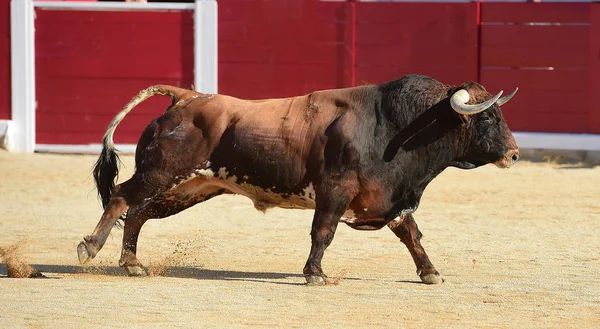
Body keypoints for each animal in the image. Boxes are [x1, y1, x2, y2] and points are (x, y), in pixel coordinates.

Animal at [77, 74, 516, 284]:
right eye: (489, 118)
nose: (513, 154)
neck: (397, 126)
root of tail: (187, 97)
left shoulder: (390, 197)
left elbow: (412, 235)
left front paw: (430, 273)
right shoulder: (335, 191)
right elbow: (323, 232)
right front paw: (315, 274)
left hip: (188, 187)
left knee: (138, 212)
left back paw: (132, 263)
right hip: (162, 172)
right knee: (122, 196)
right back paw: (90, 248)